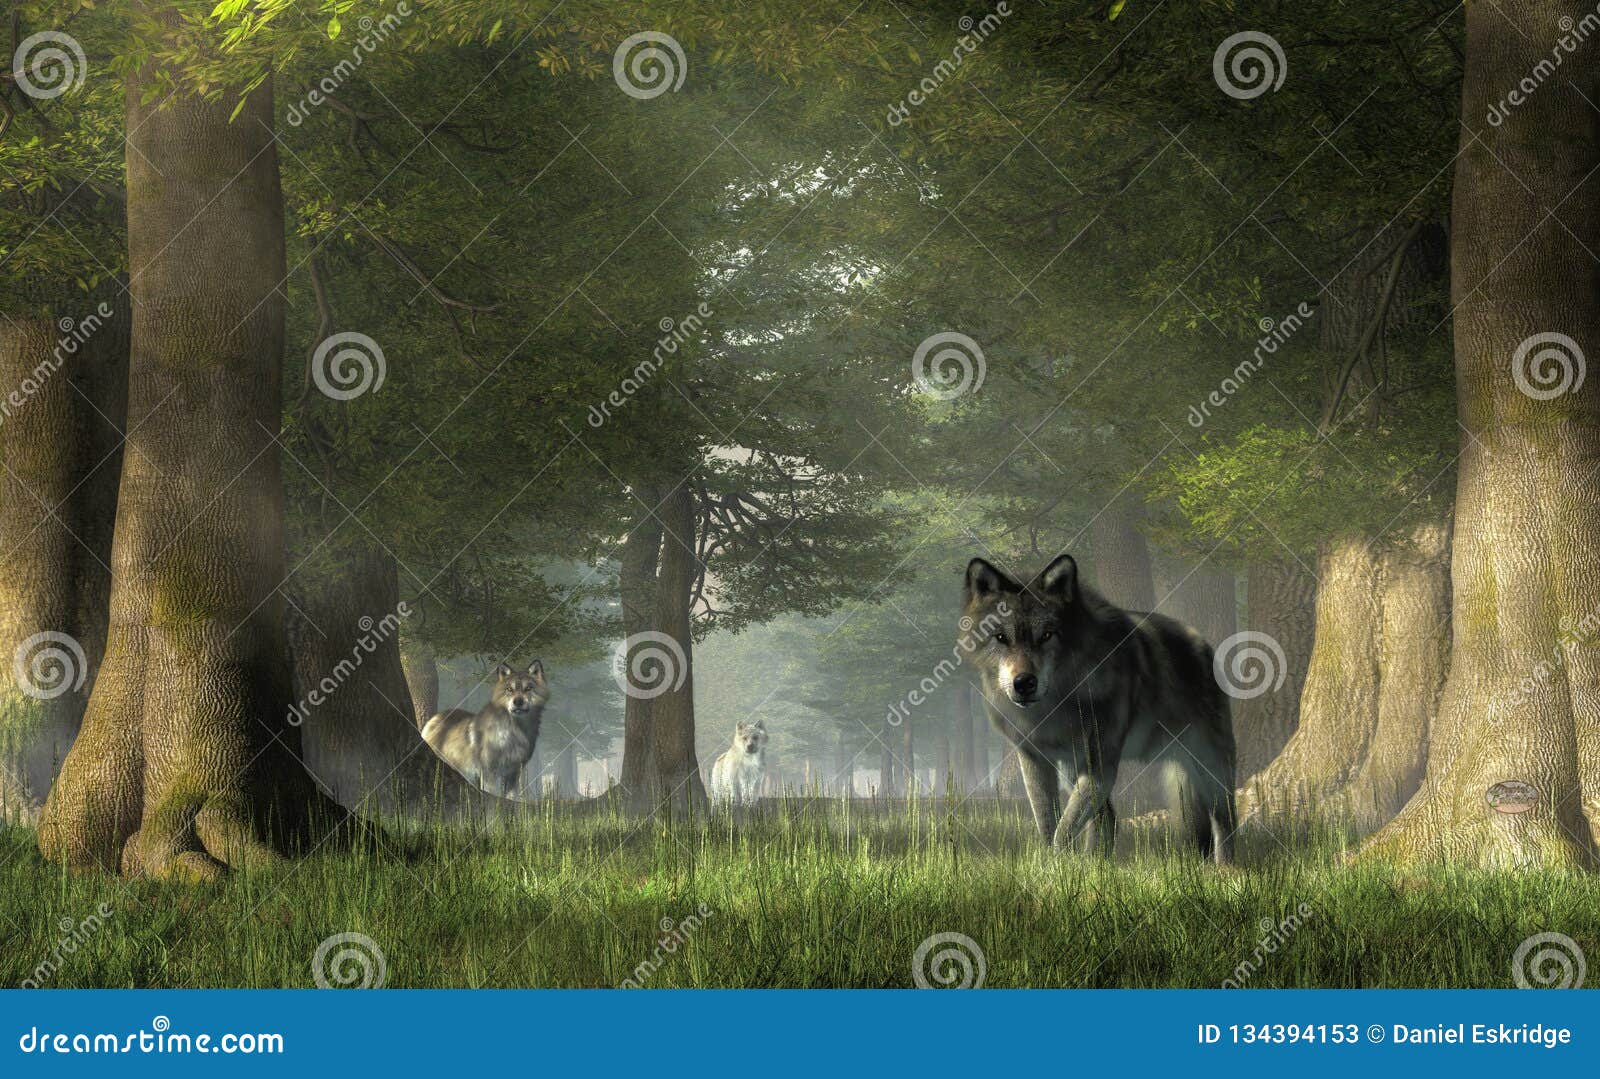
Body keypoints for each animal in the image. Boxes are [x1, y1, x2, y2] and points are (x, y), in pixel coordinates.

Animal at [421, 661, 548, 797]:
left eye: (528, 688)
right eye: (509, 689)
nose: (518, 701)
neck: (515, 731)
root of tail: (434, 718)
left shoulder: (513, 772)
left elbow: (511, 797)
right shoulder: (489, 772)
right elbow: (492, 794)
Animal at [963, 555, 1237, 863]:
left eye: (1046, 635)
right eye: (1000, 637)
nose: (1024, 683)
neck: (1053, 708)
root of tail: (1202, 643)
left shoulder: (1101, 764)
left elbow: (1062, 830)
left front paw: (1057, 864)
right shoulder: (1034, 758)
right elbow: (1048, 823)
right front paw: (1052, 863)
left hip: (1211, 767)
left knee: (1226, 819)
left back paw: (1225, 868)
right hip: (1077, 769)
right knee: (1109, 820)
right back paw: (1097, 863)